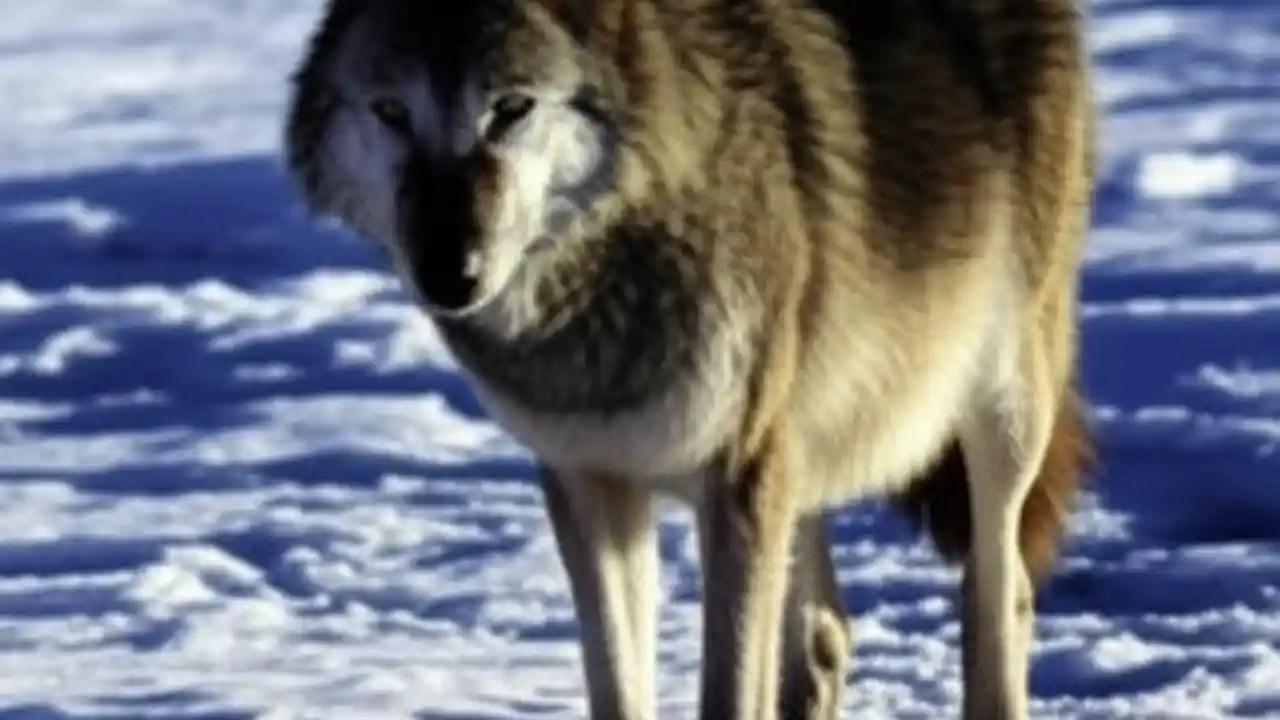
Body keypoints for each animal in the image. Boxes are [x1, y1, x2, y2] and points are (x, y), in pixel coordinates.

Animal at [285, 0, 1095, 718]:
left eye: (510, 107)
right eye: (392, 112)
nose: (451, 274)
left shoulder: (740, 474)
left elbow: (729, 694)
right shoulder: (589, 480)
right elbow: (619, 690)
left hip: (1000, 410)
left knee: (1002, 599)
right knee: (823, 635)